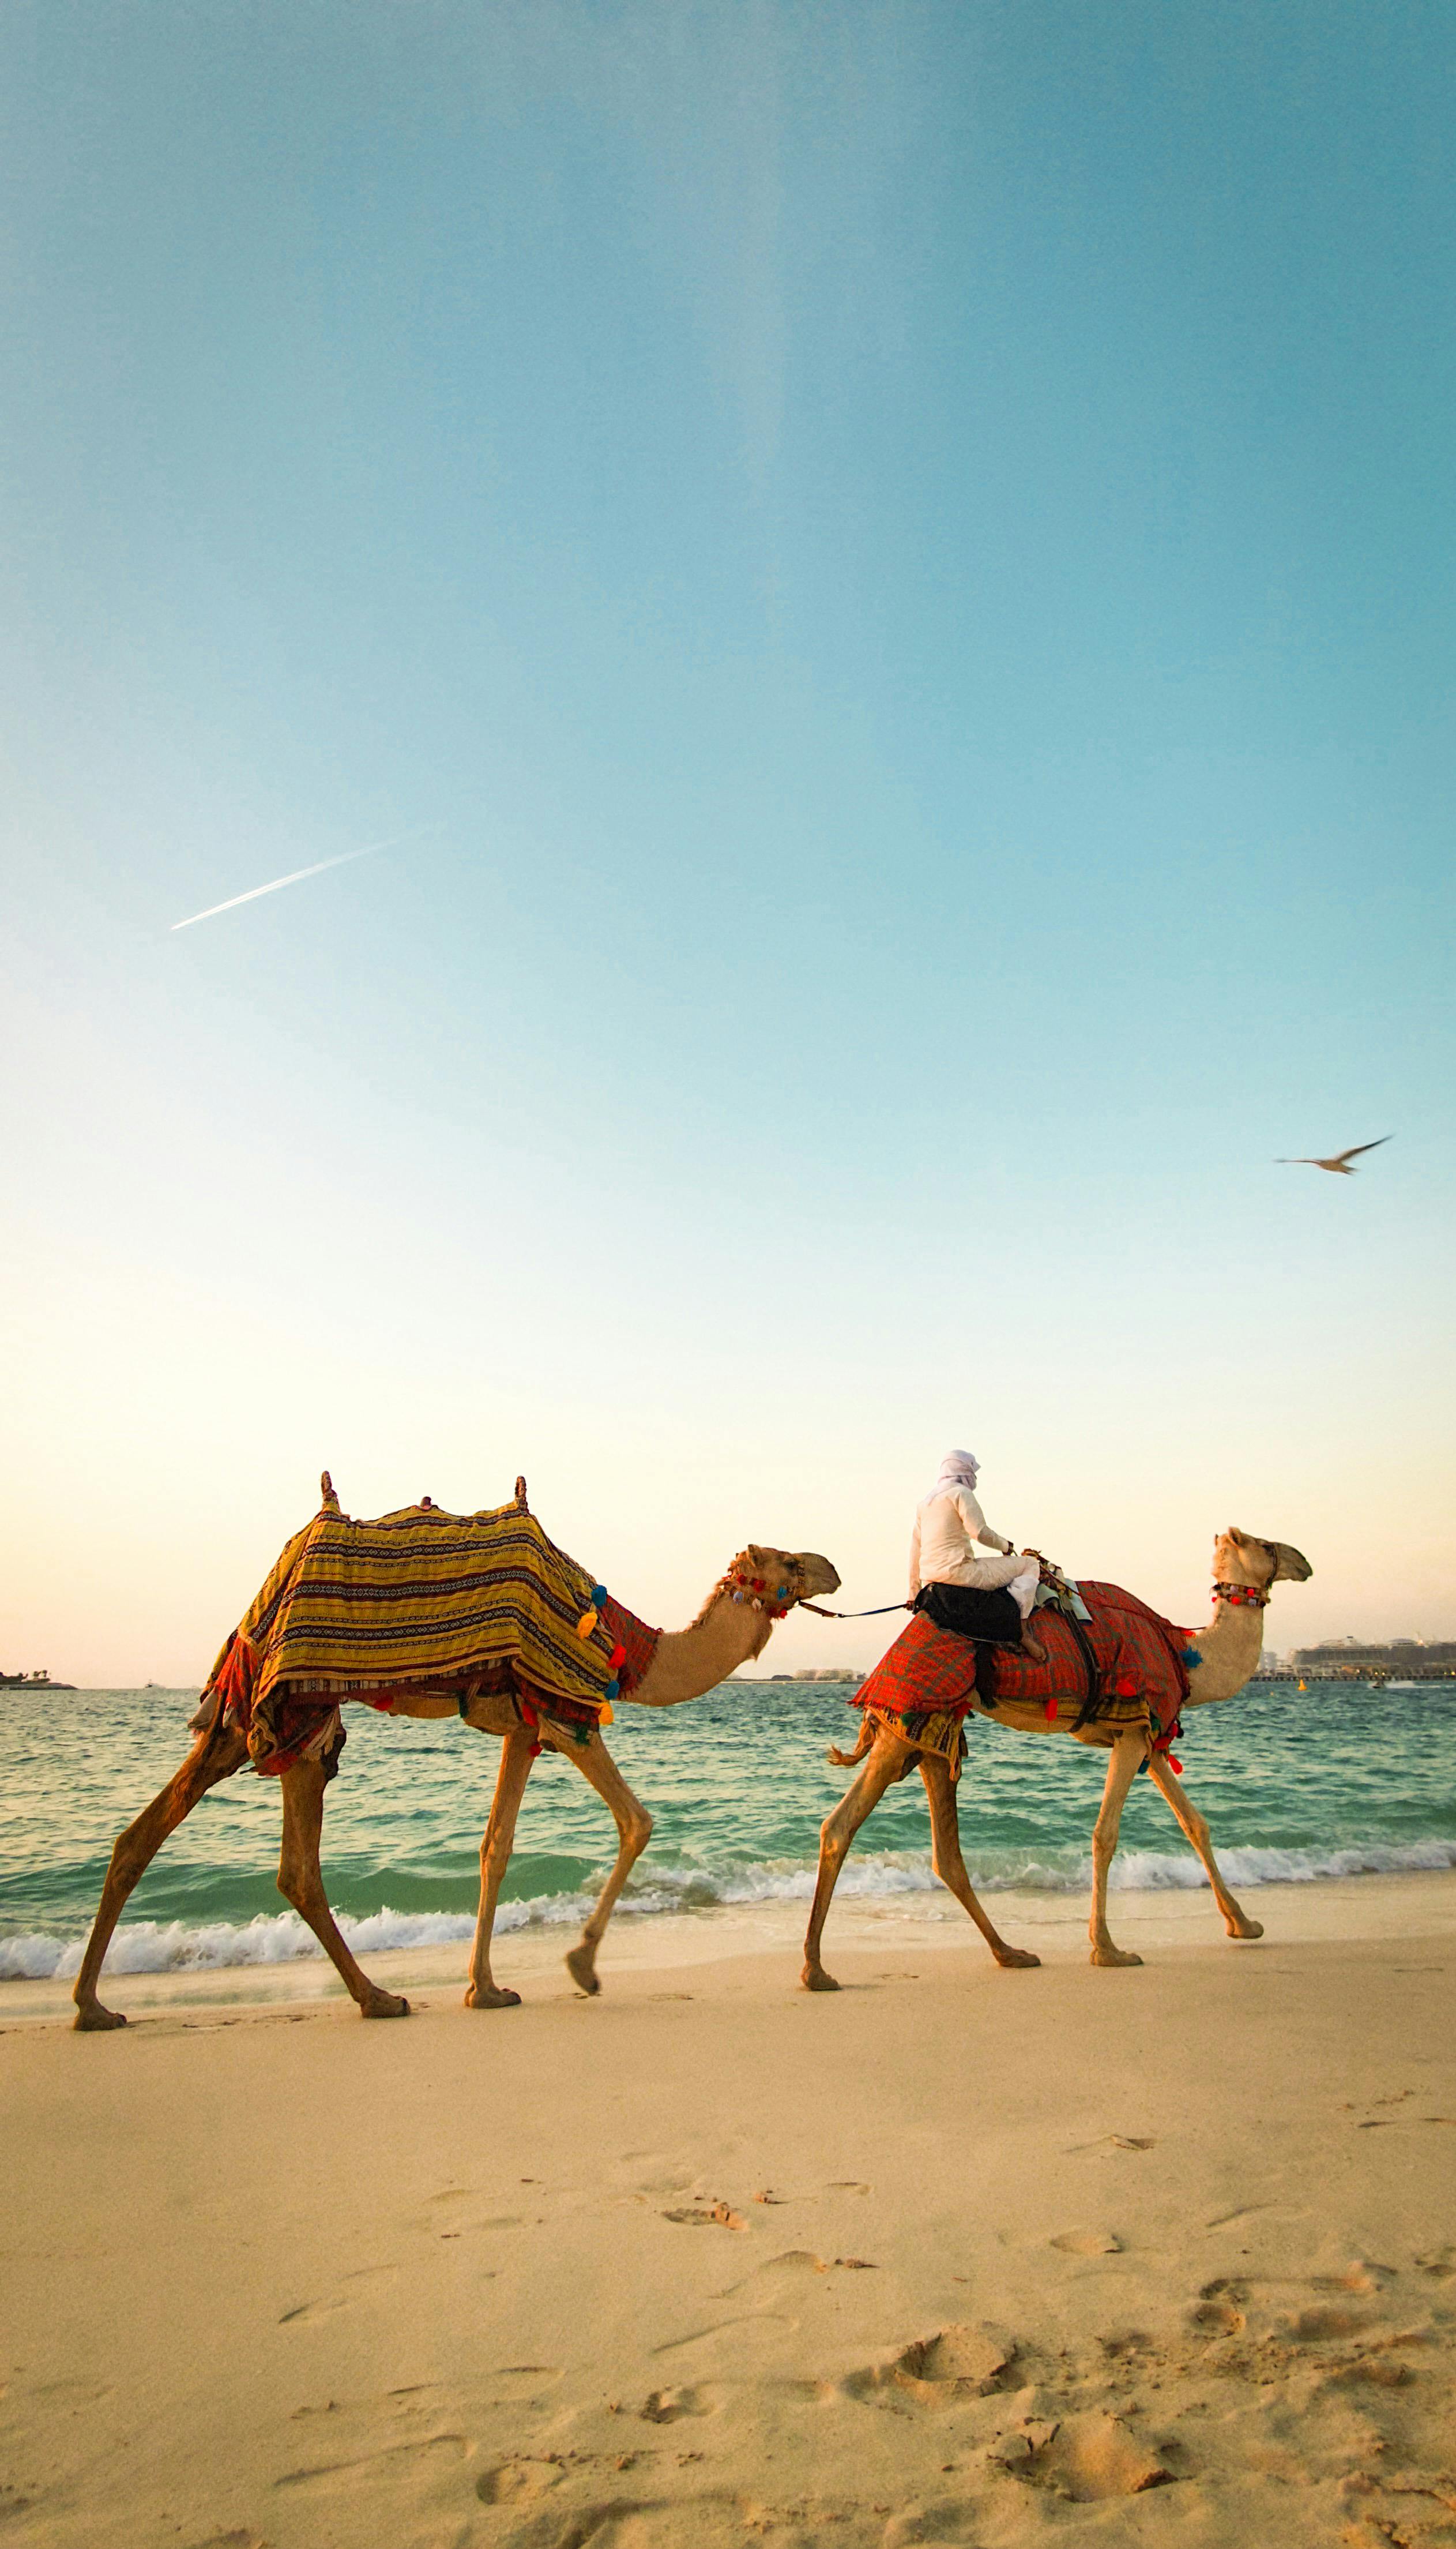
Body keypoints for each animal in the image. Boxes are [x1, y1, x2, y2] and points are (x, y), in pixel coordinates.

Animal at [72, 1532, 840, 2031]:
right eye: (789, 1560)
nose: (832, 1567)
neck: (631, 1652)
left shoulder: (525, 1729)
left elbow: (495, 1845)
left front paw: (486, 1986)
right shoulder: (562, 1710)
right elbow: (633, 1822)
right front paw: (575, 1967)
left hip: (279, 1720)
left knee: (190, 1842)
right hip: (285, 1704)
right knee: (249, 1851)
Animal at [801, 1526, 1312, 1987]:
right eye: (1265, 1545)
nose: (1304, 1561)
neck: (1185, 1654)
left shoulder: (1143, 1735)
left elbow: (1195, 1823)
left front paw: (1244, 1925)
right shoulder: (1133, 1723)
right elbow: (1105, 1834)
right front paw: (1107, 1949)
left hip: (933, 1731)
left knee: (944, 1852)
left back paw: (1009, 1952)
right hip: (909, 1720)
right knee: (841, 1826)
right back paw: (816, 1969)